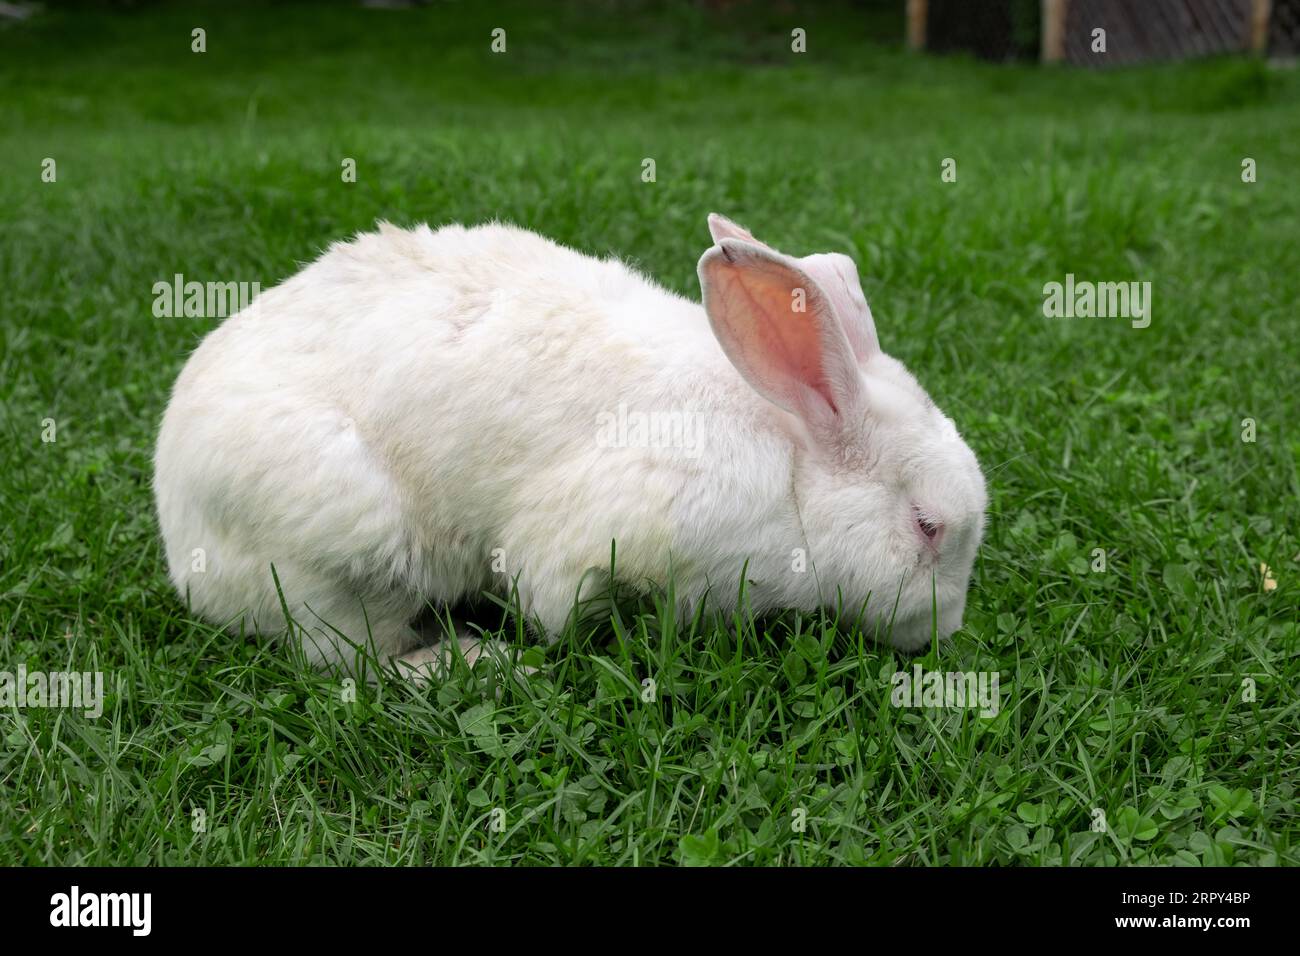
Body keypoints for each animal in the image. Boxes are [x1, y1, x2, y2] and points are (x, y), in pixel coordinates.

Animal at [153, 213, 988, 676]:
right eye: (927, 527)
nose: (943, 633)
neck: (791, 466)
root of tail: (178, 524)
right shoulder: (598, 542)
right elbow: (559, 605)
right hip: (347, 551)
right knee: (352, 659)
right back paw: (471, 661)